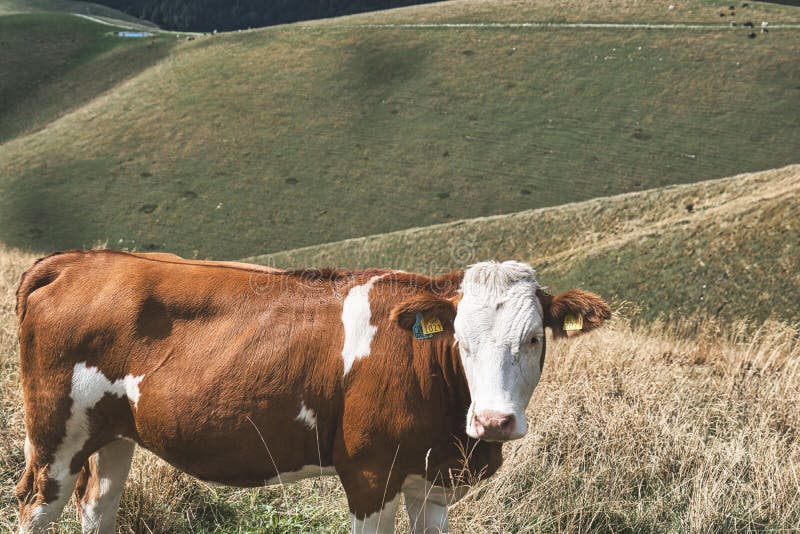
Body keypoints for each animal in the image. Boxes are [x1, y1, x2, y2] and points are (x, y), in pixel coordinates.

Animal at [14, 250, 610, 533]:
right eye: (460, 340)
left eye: (533, 338)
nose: (493, 421)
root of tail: (82, 258)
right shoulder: (368, 472)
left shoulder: (433, 481)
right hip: (54, 437)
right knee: (34, 504)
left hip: (113, 433)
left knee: (98, 505)